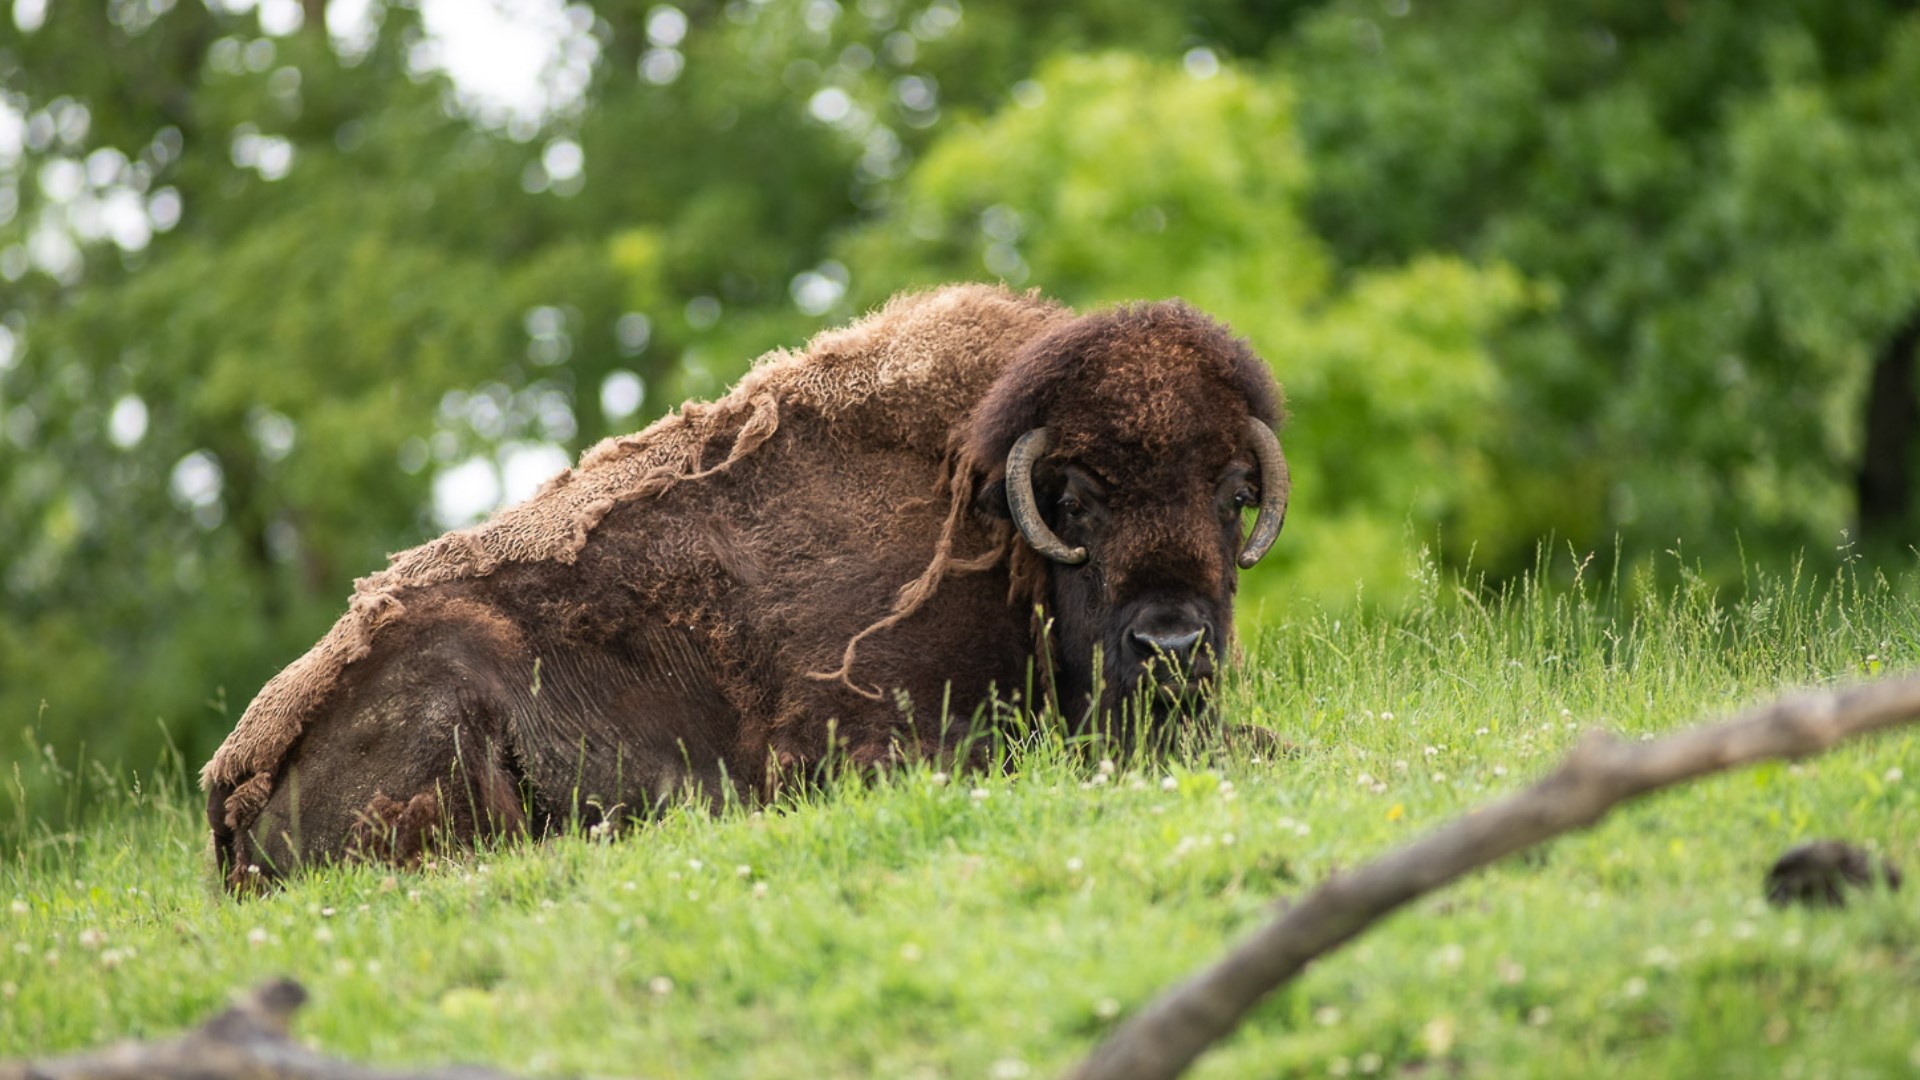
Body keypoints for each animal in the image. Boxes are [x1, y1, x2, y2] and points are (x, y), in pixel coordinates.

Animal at [202, 284, 1288, 888]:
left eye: (1234, 493)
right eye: (1075, 500)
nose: (1173, 647)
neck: (988, 512)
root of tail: (232, 794)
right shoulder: (852, 738)